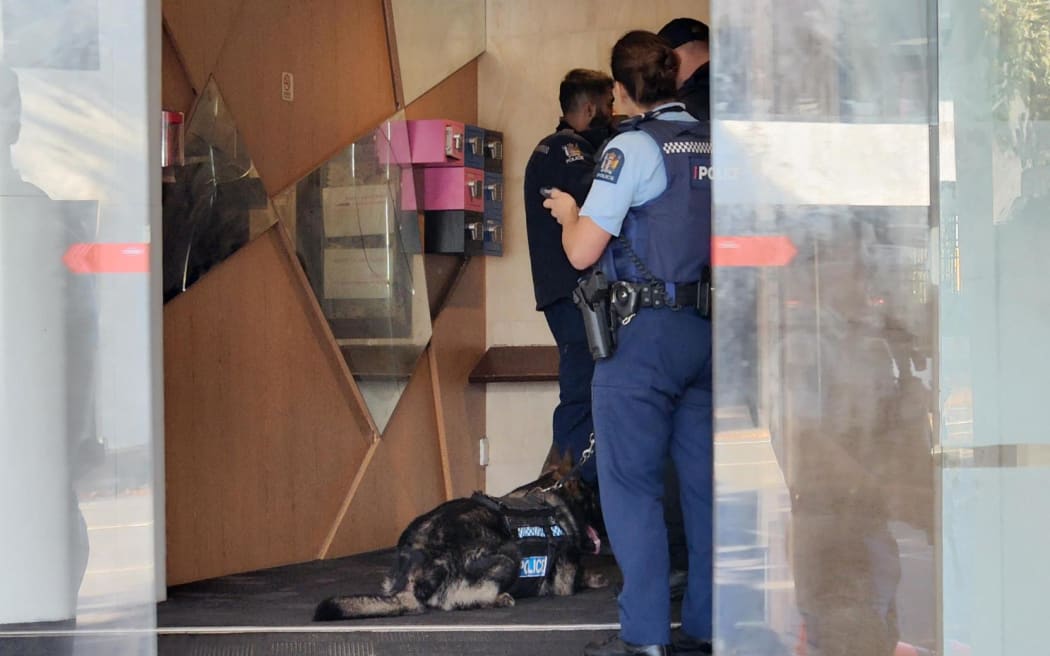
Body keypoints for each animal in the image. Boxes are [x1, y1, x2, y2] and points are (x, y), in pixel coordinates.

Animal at [312, 463, 609, 621]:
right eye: (596, 499)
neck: (556, 504)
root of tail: (413, 577)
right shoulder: (564, 583)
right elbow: (579, 578)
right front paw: (596, 577)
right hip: (508, 556)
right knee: (460, 601)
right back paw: (499, 598)